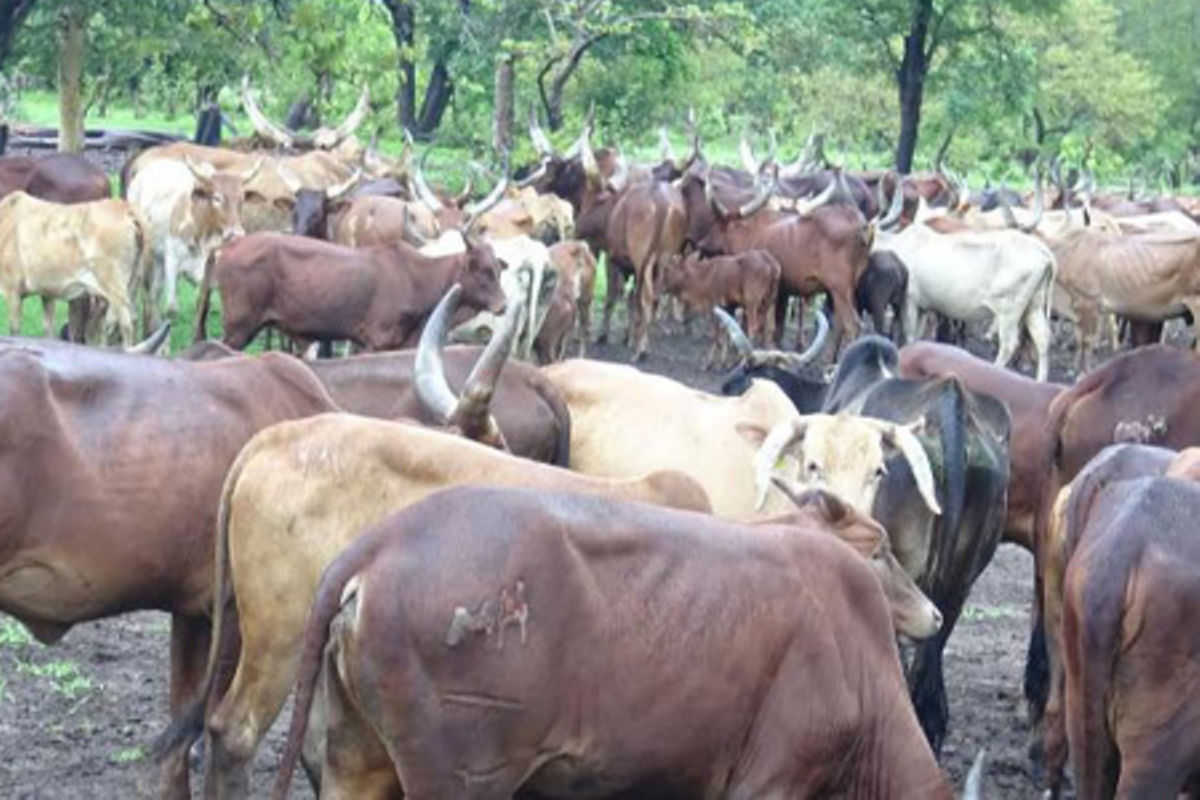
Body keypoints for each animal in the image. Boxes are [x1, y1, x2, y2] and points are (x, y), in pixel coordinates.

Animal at [0, 191, 146, 345]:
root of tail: (125, 209)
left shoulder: (13, 290)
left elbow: (14, 330)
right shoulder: (47, 291)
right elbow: (48, 328)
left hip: (115, 287)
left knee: (125, 324)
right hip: (134, 282)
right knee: (126, 321)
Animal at [128, 155, 263, 328]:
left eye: (242, 199)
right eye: (217, 198)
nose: (236, 233)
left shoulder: (208, 270)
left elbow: (201, 306)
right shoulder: (171, 260)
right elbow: (171, 308)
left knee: (153, 295)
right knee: (142, 294)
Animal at [269, 486, 955, 800]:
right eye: (880, 549)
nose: (935, 613)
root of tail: (380, 543)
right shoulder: (773, 780)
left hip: (358, 763)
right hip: (461, 780)